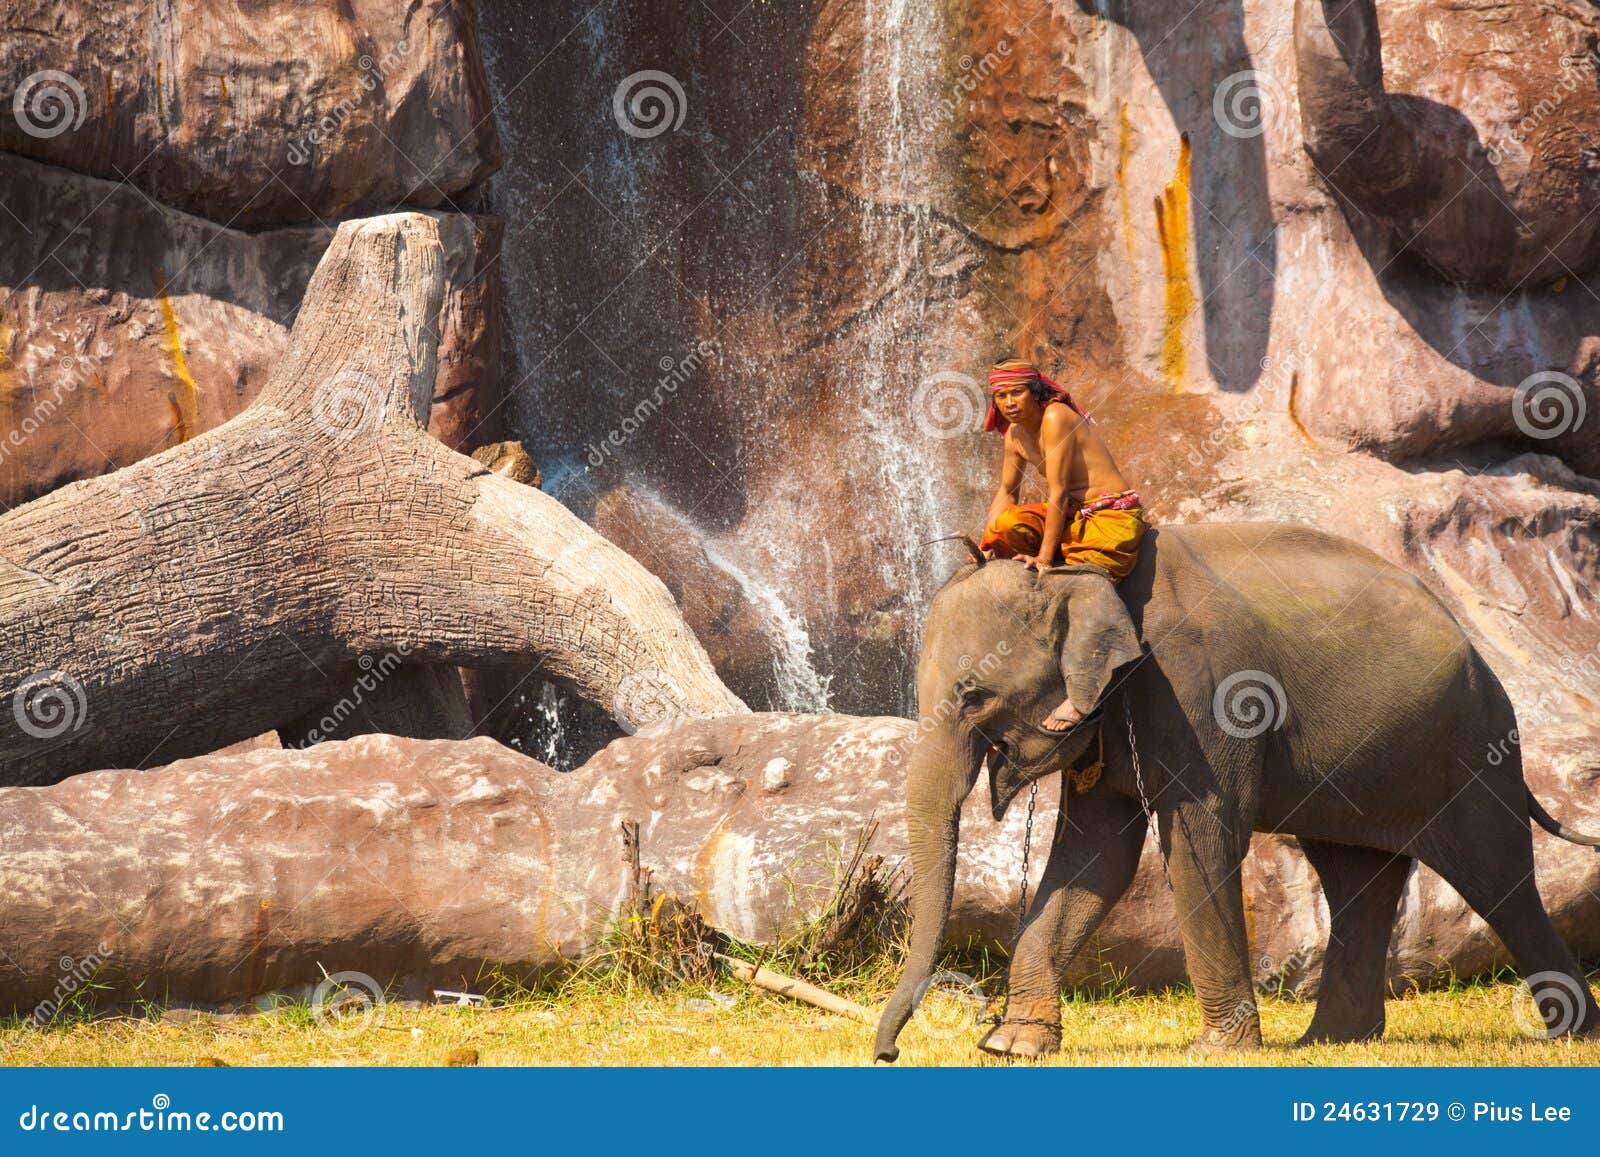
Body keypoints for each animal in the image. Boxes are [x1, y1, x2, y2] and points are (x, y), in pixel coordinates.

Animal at [874, 521, 1600, 1062]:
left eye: (972, 694)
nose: (887, 1054)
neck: (1083, 574)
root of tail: (1476, 648)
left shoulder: (1200, 688)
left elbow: (1198, 838)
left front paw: (1217, 1051)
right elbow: (1096, 859)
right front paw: (1012, 1045)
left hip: (1472, 746)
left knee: (1499, 880)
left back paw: (1572, 1033)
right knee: (1357, 877)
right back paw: (1330, 1042)